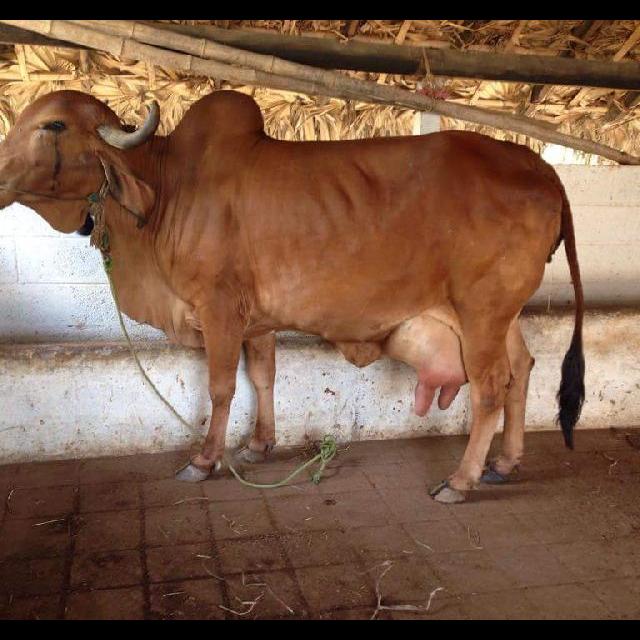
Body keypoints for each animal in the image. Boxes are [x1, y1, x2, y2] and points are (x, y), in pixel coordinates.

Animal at [0, 89, 585, 504]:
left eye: (53, 125)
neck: (167, 190)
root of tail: (540, 167)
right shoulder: (256, 320)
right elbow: (262, 376)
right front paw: (259, 445)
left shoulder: (219, 308)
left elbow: (220, 388)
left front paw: (205, 460)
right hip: (501, 314)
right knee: (523, 368)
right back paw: (504, 464)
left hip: (482, 311)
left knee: (489, 388)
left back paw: (461, 481)